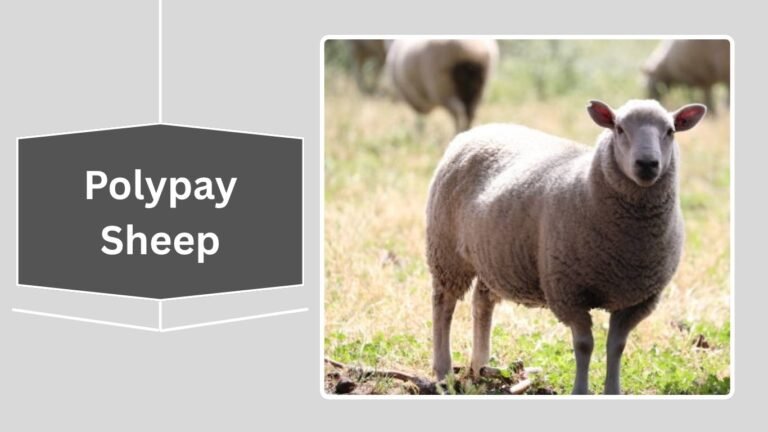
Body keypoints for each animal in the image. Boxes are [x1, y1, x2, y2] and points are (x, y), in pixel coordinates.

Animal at [426, 99, 707, 394]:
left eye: (670, 131)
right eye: (619, 129)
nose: (647, 164)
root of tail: (474, 131)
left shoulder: (637, 300)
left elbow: (616, 346)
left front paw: (612, 390)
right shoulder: (568, 292)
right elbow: (584, 345)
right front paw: (580, 390)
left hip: (493, 256)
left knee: (482, 302)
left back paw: (480, 366)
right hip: (446, 251)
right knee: (443, 306)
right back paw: (444, 372)